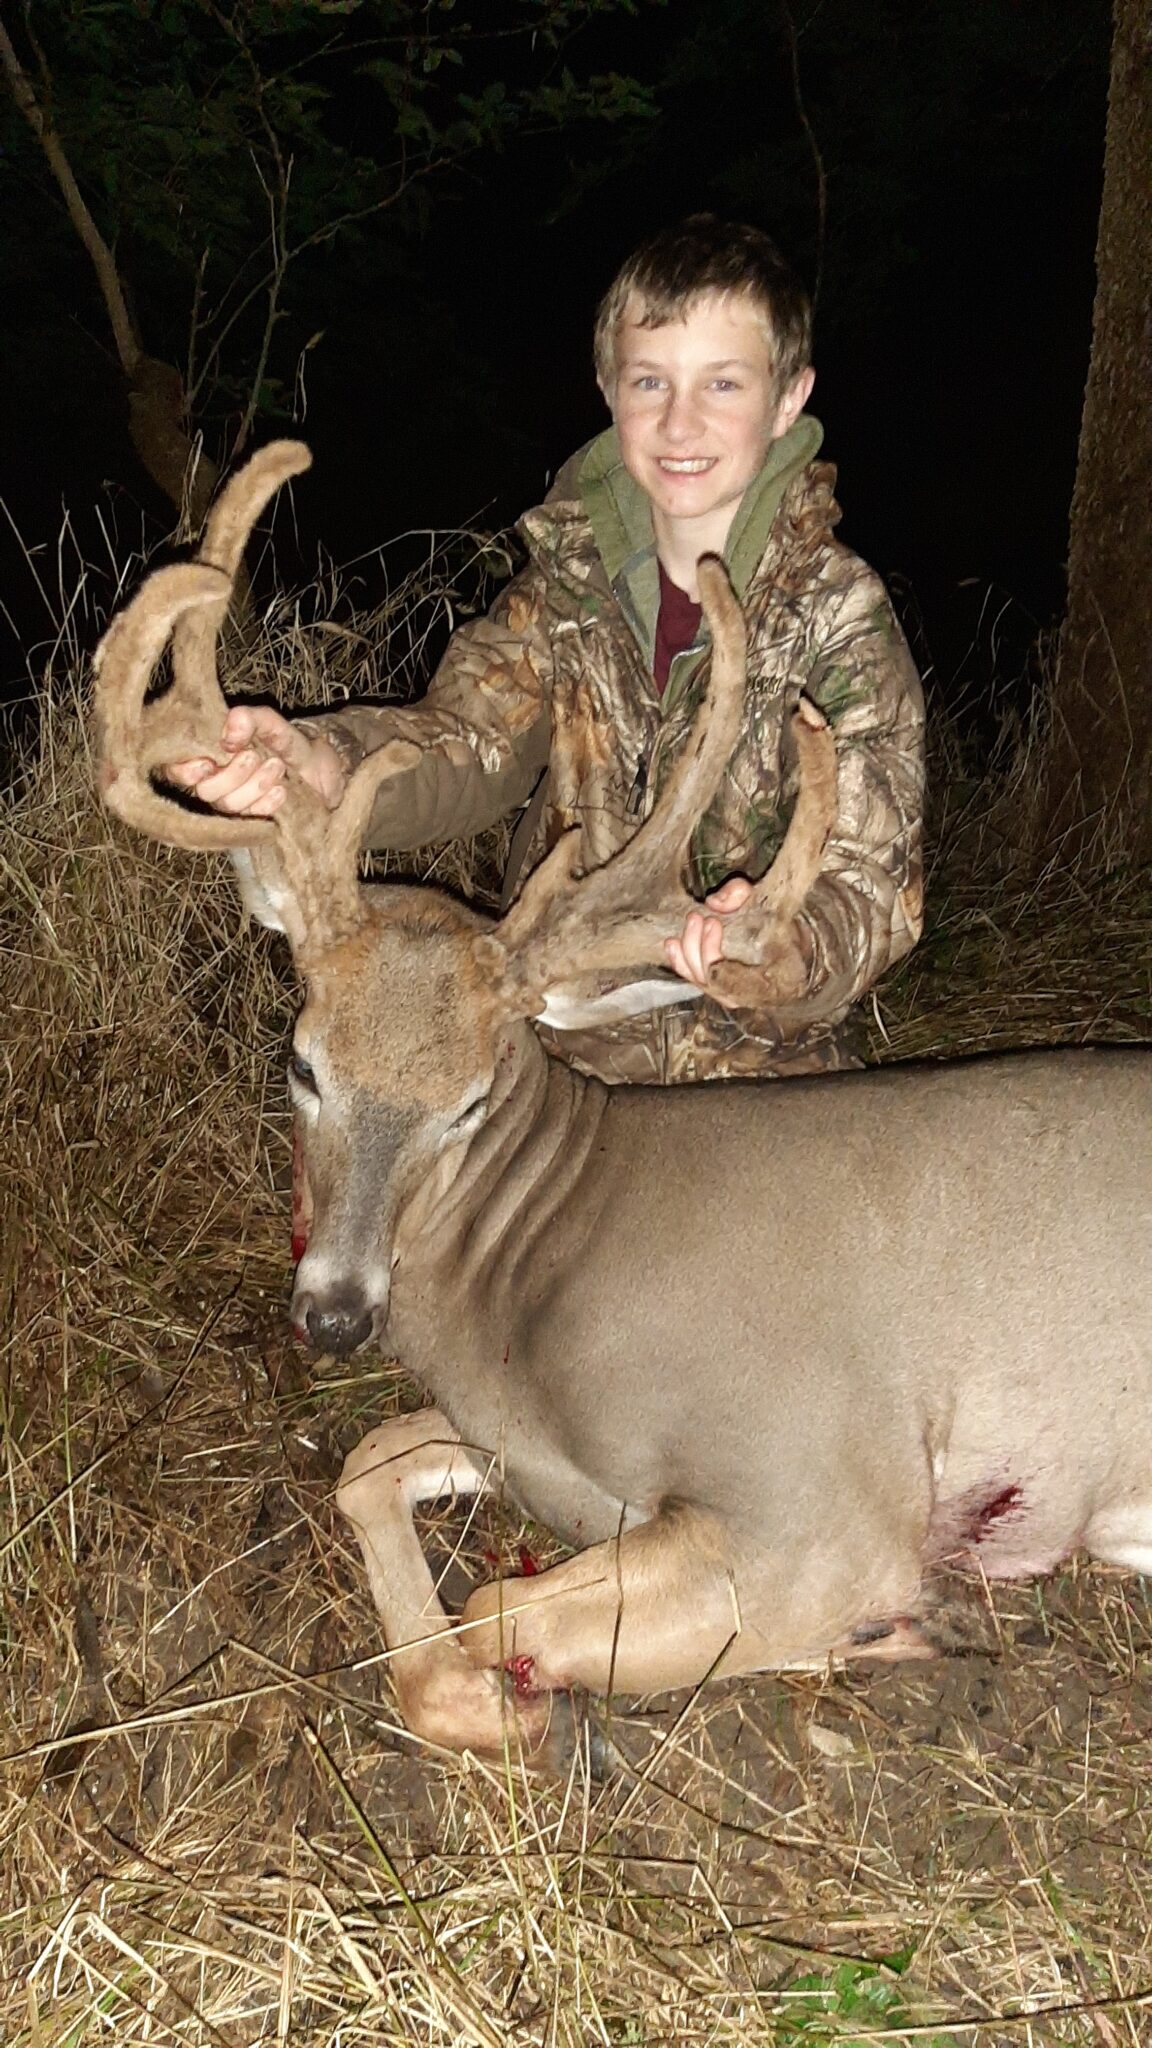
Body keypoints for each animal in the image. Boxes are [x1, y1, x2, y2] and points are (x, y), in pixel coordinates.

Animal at [94, 440, 1152, 1763]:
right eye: (302, 1062)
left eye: (470, 1100)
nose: (333, 1314)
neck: (526, 1285)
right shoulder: (515, 1444)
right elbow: (364, 1463)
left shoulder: (822, 1494)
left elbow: (489, 1610)